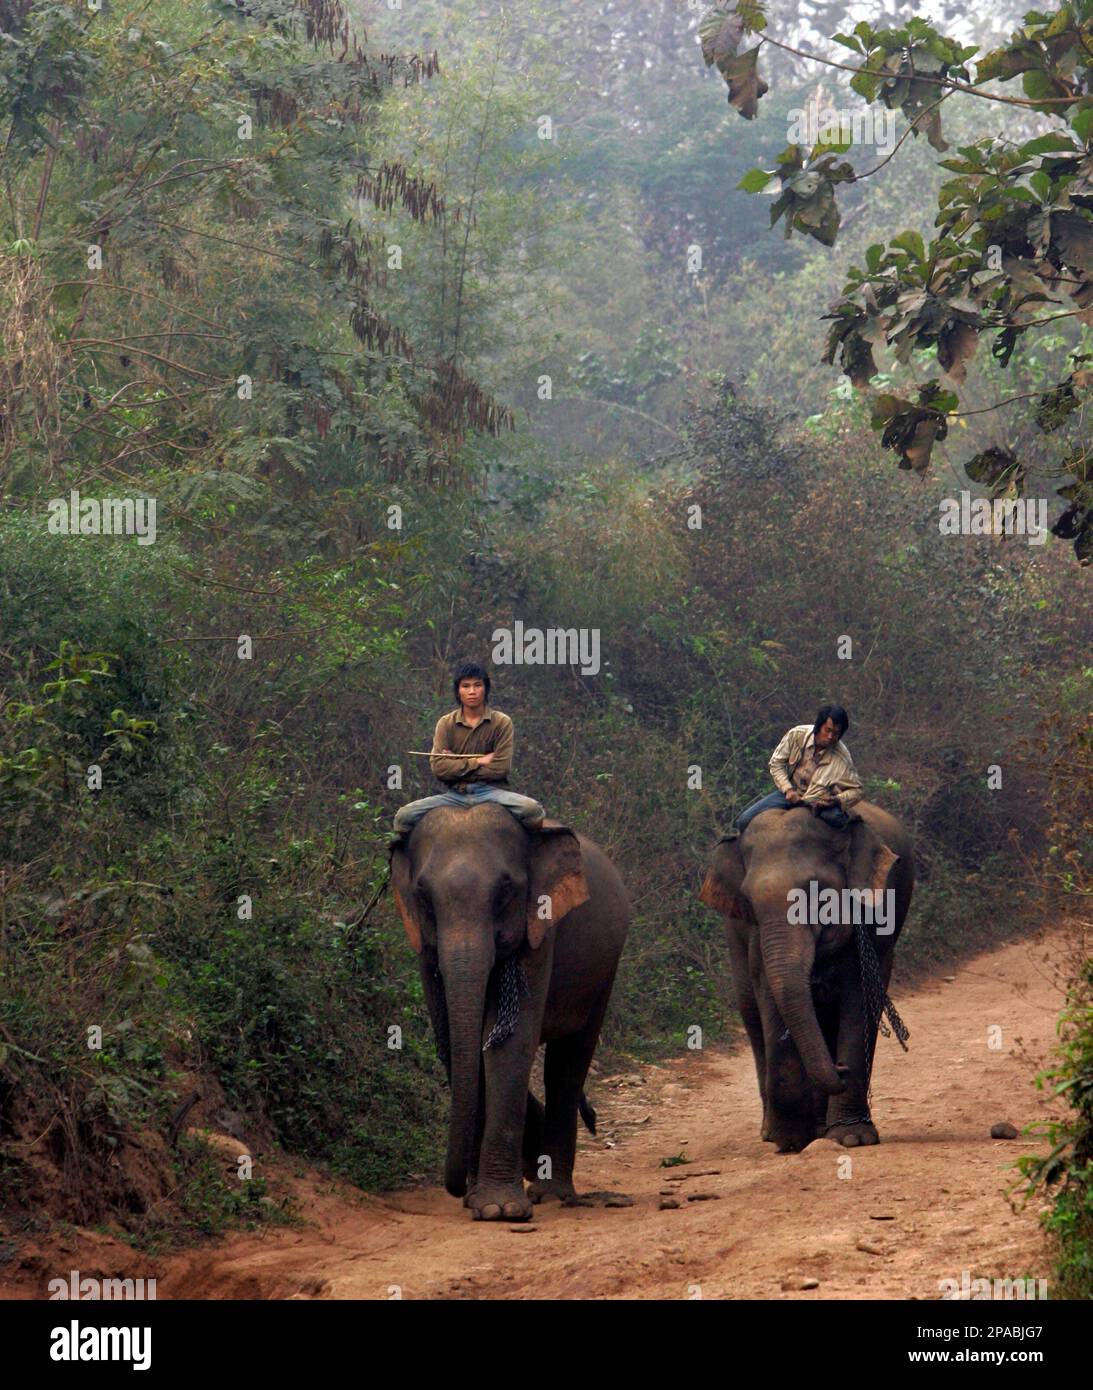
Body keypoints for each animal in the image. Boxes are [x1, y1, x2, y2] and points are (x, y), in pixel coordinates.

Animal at [390, 802, 630, 1221]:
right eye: (423, 896)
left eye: (505, 891)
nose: (456, 1189)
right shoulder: (423, 945)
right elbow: (453, 1040)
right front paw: (479, 1199)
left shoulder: (541, 927)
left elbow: (508, 1043)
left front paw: (500, 1209)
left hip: (605, 969)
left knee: (568, 1062)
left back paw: (552, 1194)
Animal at [698, 800, 913, 1153]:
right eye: (749, 903)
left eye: (820, 895)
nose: (841, 1069)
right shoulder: (756, 936)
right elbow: (771, 996)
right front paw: (791, 1140)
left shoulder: (871, 926)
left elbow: (858, 1000)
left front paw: (851, 1138)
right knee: (751, 1013)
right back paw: (775, 1131)